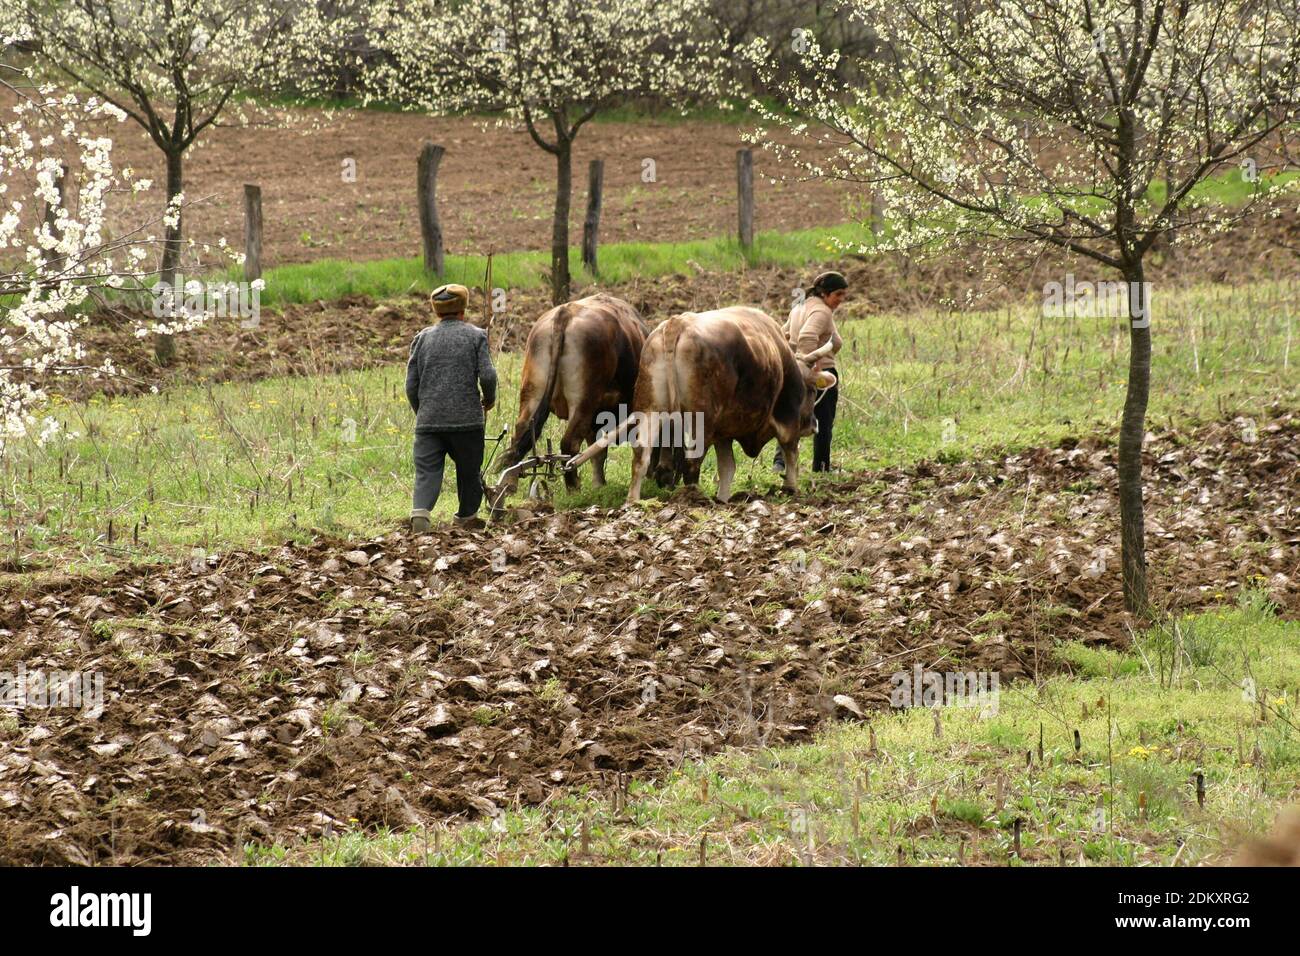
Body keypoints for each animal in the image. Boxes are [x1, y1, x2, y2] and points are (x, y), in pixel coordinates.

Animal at [489, 294, 646, 506]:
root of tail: (565, 313)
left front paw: (599, 485)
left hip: (532, 395)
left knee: (519, 436)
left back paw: (510, 484)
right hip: (582, 403)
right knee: (569, 444)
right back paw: (574, 489)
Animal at [564, 306, 837, 504]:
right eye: (813, 391)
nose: (814, 425)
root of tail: (676, 324)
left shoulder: (723, 434)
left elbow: (727, 468)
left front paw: (723, 500)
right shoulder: (787, 421)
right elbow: (791, 456)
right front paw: (791, 490)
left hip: (651, 410)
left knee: (641, 456)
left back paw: (634, 501)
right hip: (700, 422)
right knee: (691, 464)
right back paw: (693, 499)